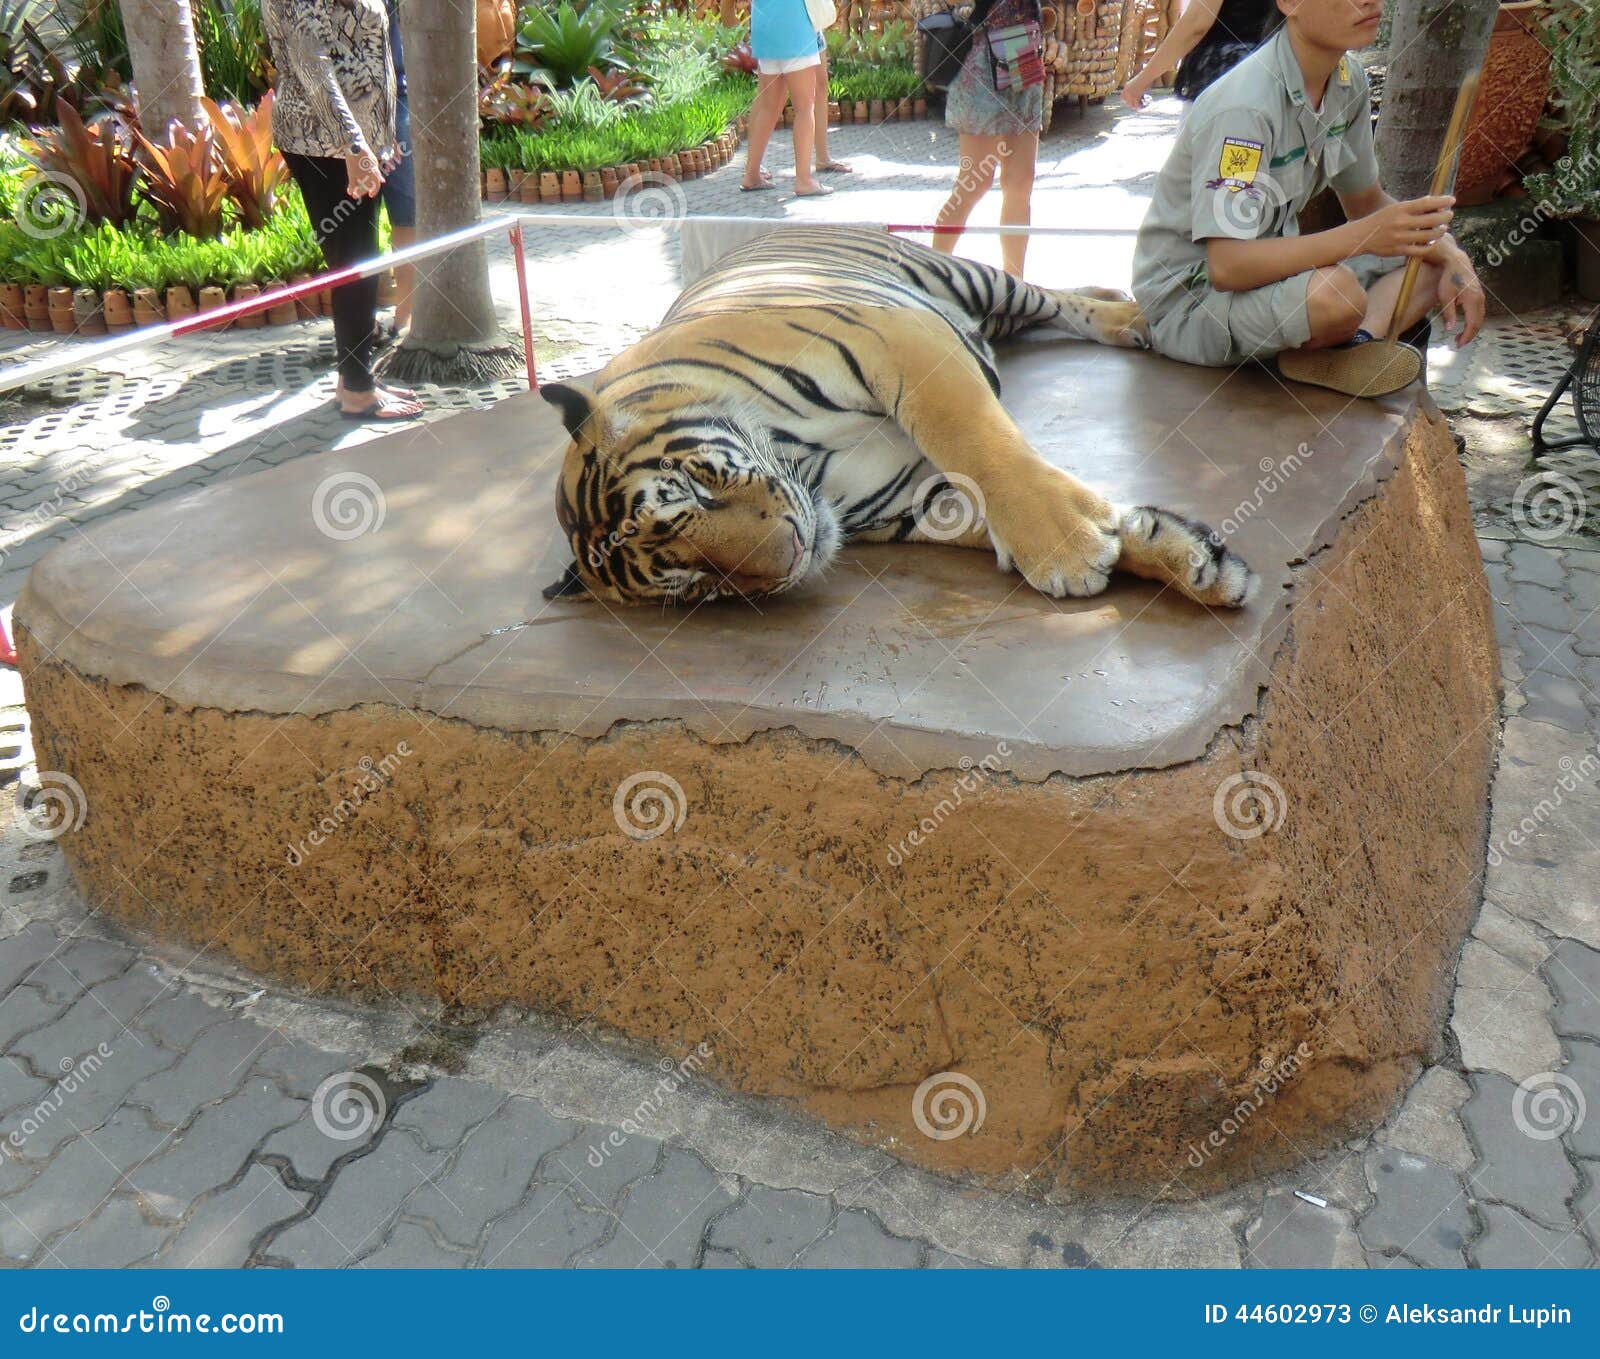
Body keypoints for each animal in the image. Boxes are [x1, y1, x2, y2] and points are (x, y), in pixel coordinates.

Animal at [540, 226, 1257, 611]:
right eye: (697, 583)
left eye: (695, 488)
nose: (793, 555)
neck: (806, 461)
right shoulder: (912, 498)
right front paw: (1188, 559)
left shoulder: (899, 339)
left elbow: (979, 443)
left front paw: (1068, 545)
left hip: (967, 277)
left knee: (1049, 298)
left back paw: (1134, 317)